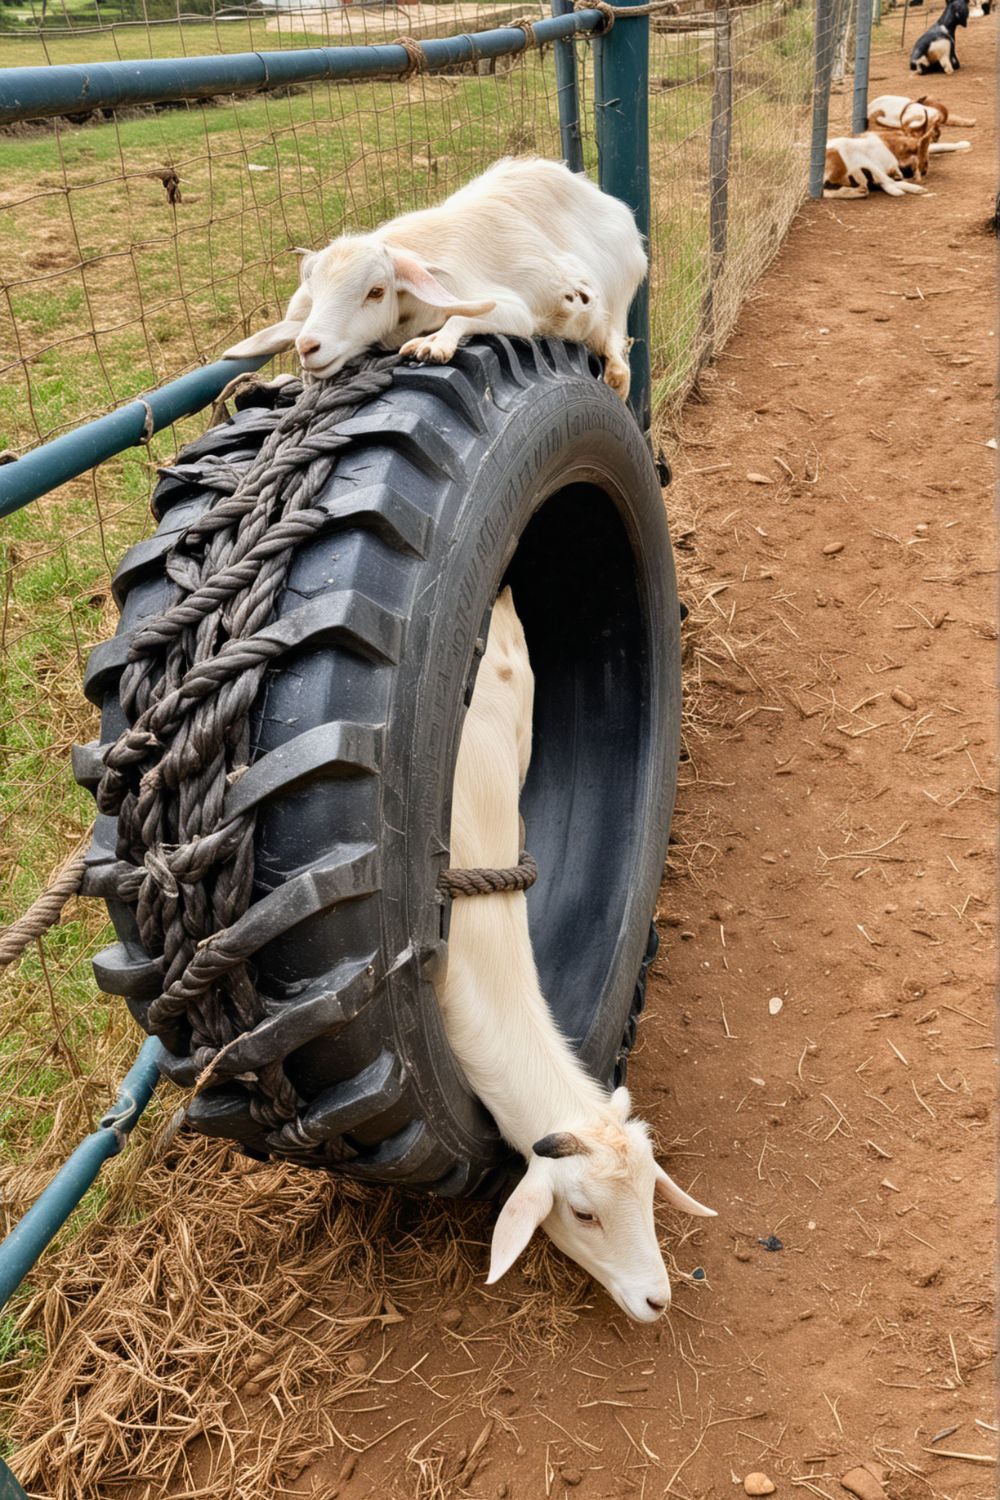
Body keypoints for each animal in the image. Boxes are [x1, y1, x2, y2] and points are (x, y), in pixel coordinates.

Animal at [223, 158, 646, 400]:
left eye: (376, 291)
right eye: (316, 292)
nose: (308, 347)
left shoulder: (517, 311)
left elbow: (464, 317)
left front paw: (432, 346)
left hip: (618, 295)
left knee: (615, 342)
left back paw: (616, 376)